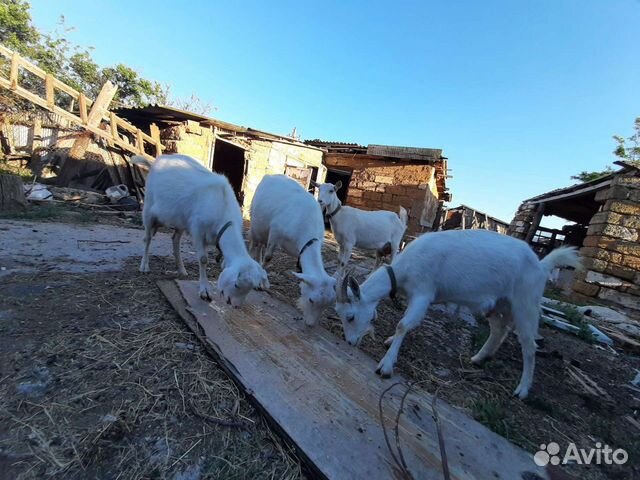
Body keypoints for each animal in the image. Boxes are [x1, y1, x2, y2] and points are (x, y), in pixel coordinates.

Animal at [131, 154, 268, 305]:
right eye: (236, 284)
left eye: (250, 289)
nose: (235, 305)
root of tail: (156, 161)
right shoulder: (197, 230)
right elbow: (203, 259)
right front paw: (205, 291)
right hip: (148, 207)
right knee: (148, 238)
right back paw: (144, 266)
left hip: (181, 219)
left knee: (175, 240)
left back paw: (182, 269)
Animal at [249, 175, 336, 326]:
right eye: (311, 300)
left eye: (326, 306)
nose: (310, 324)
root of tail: (270, 176)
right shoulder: (275, 232)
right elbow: (268, 257)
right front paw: (261, 284)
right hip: (256, 223)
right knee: (255, 243)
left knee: (260, 247)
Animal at [334, 229, 580, 399]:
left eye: (351, 317)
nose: (350, 342)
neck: (404, 270)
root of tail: (541, 265)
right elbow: (406, 322)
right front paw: (389, 342)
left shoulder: (424, 292)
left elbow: (404, 324)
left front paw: (385, 366)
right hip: (498, 304)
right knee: (499, 330)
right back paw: (479, 358)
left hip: (525, 303)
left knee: (529, 345)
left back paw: (522, 389)